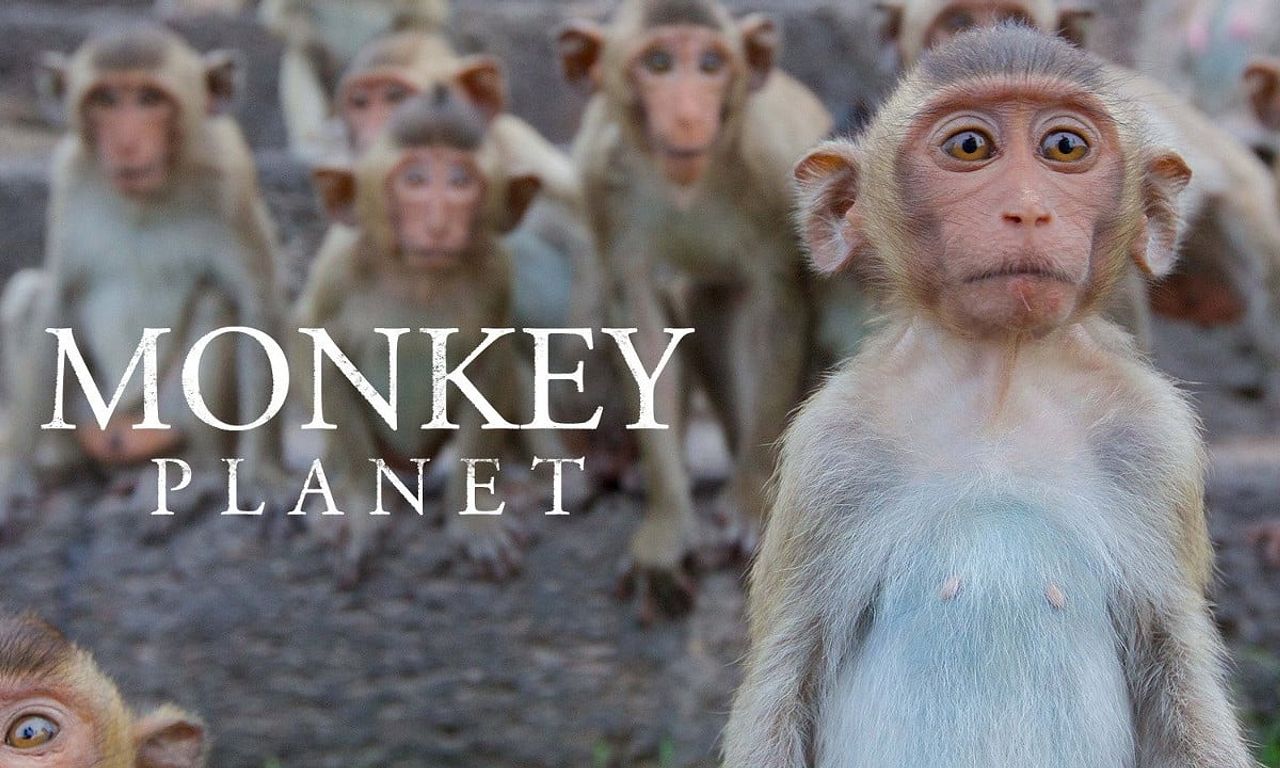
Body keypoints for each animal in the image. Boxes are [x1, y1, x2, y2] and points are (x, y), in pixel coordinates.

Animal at [0, 26, 287, 536]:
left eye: (150, 99)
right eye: (106, 99)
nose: (127, 144)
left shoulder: (231, 175)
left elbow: (257, 308)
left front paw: (264, 475)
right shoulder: (67, 178)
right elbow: (56, 302)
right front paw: (14, 473)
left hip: (160, 420)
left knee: (217, 304)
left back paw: (198, 476)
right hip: (88, 414)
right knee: (28, 294)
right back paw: (57, 463)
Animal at [557, 0, 838, 620]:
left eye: (710, 64)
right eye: (659, 63)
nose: (688, 115)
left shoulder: (772, 170)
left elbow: (772, 305)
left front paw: (750, 507)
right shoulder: (601, 182)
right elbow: (642, 324)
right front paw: (666, 527)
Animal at [722, 27, 1256, 768]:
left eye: (1065, 147)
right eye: (970, 147)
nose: (1028, 209)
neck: (1000, 381)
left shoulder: (1156, 442)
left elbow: (1175, 664)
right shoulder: (831, 451)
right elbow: (786, 669)